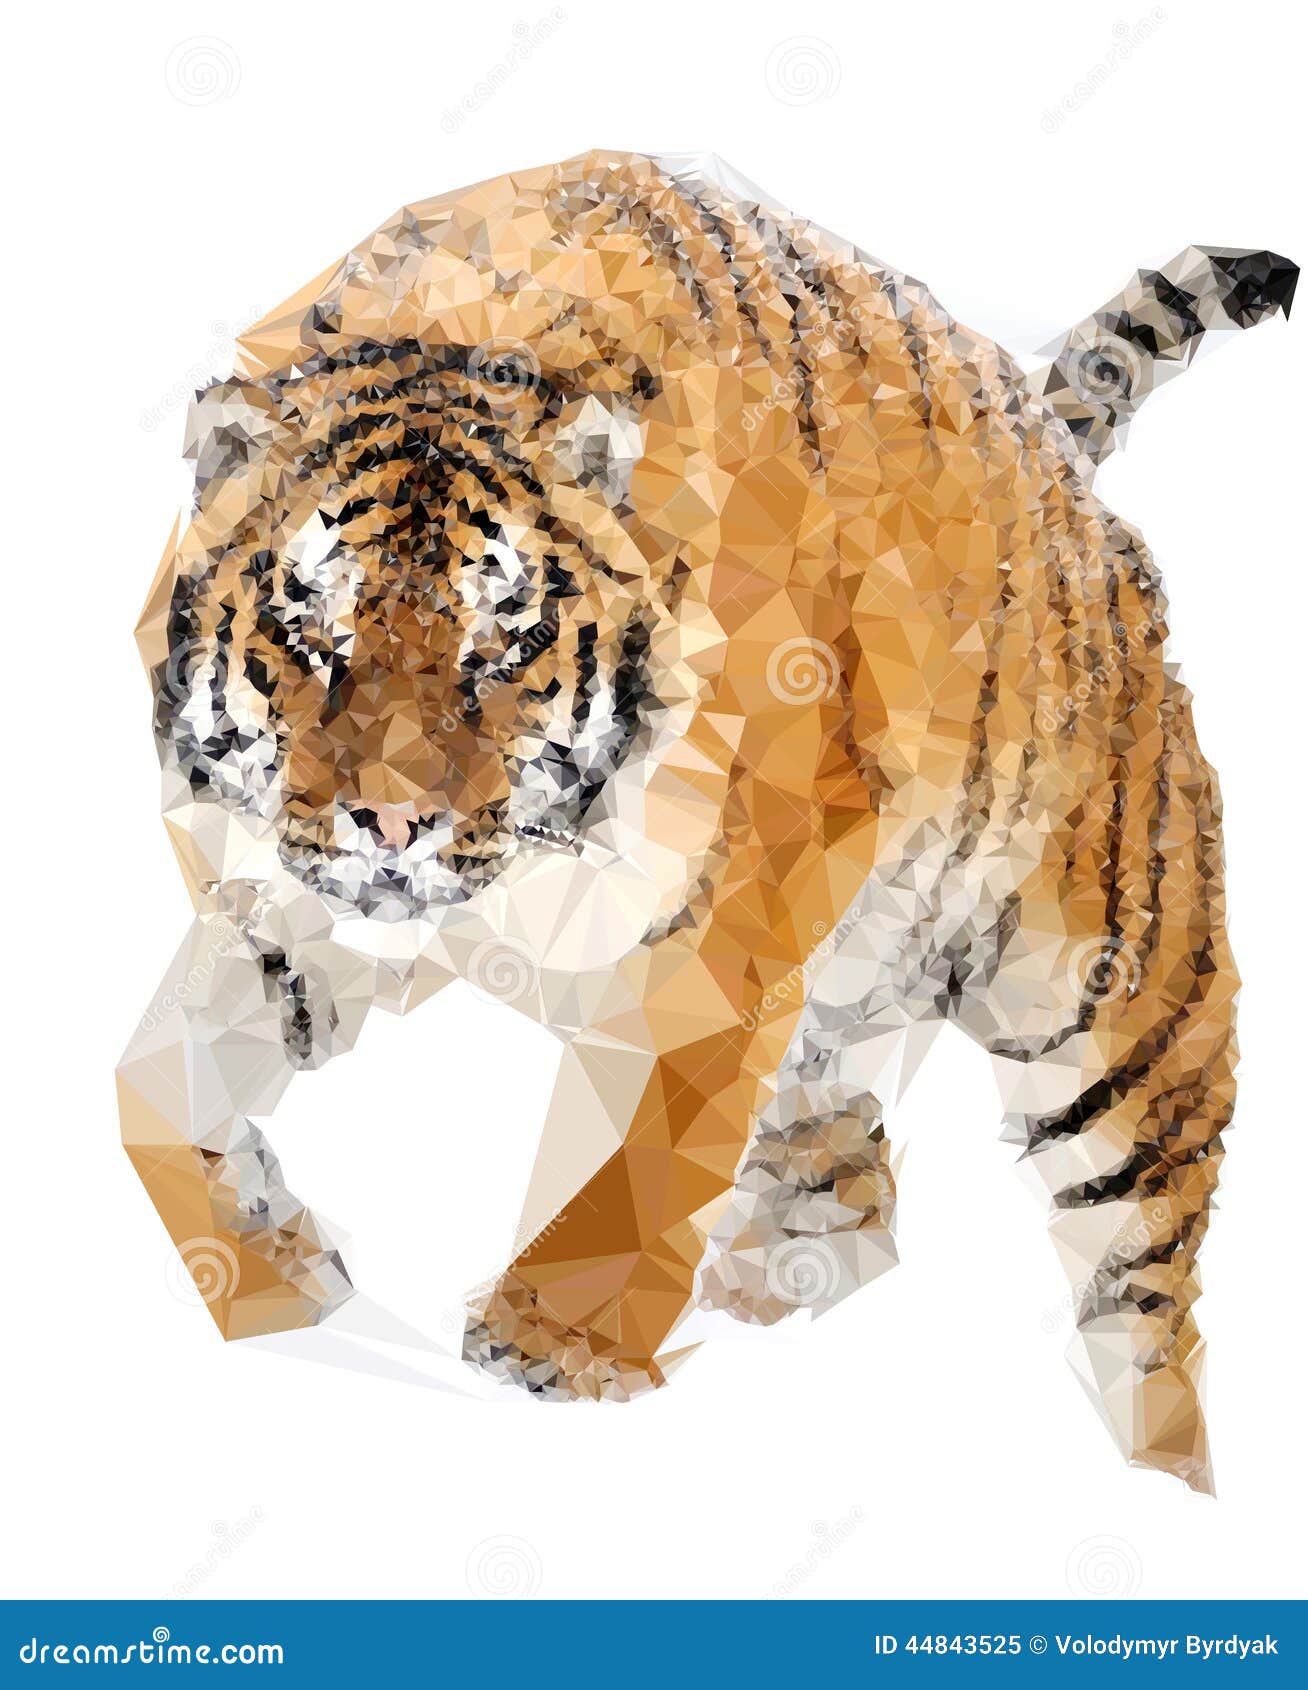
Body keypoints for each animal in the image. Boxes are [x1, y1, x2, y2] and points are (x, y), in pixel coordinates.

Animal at [118, 149, 1296, 1492]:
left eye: (502, 644)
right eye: (310, 635)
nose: (394, 825)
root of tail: (1063, 471)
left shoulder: (750, 886)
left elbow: (651, 1141)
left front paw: (554, 1351)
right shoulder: (274, 904)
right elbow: (150, 1095)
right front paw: (273, 1280)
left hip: (1116, 1009)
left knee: (1146, 1305)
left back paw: (1165, 1490)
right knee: (855, 1196)